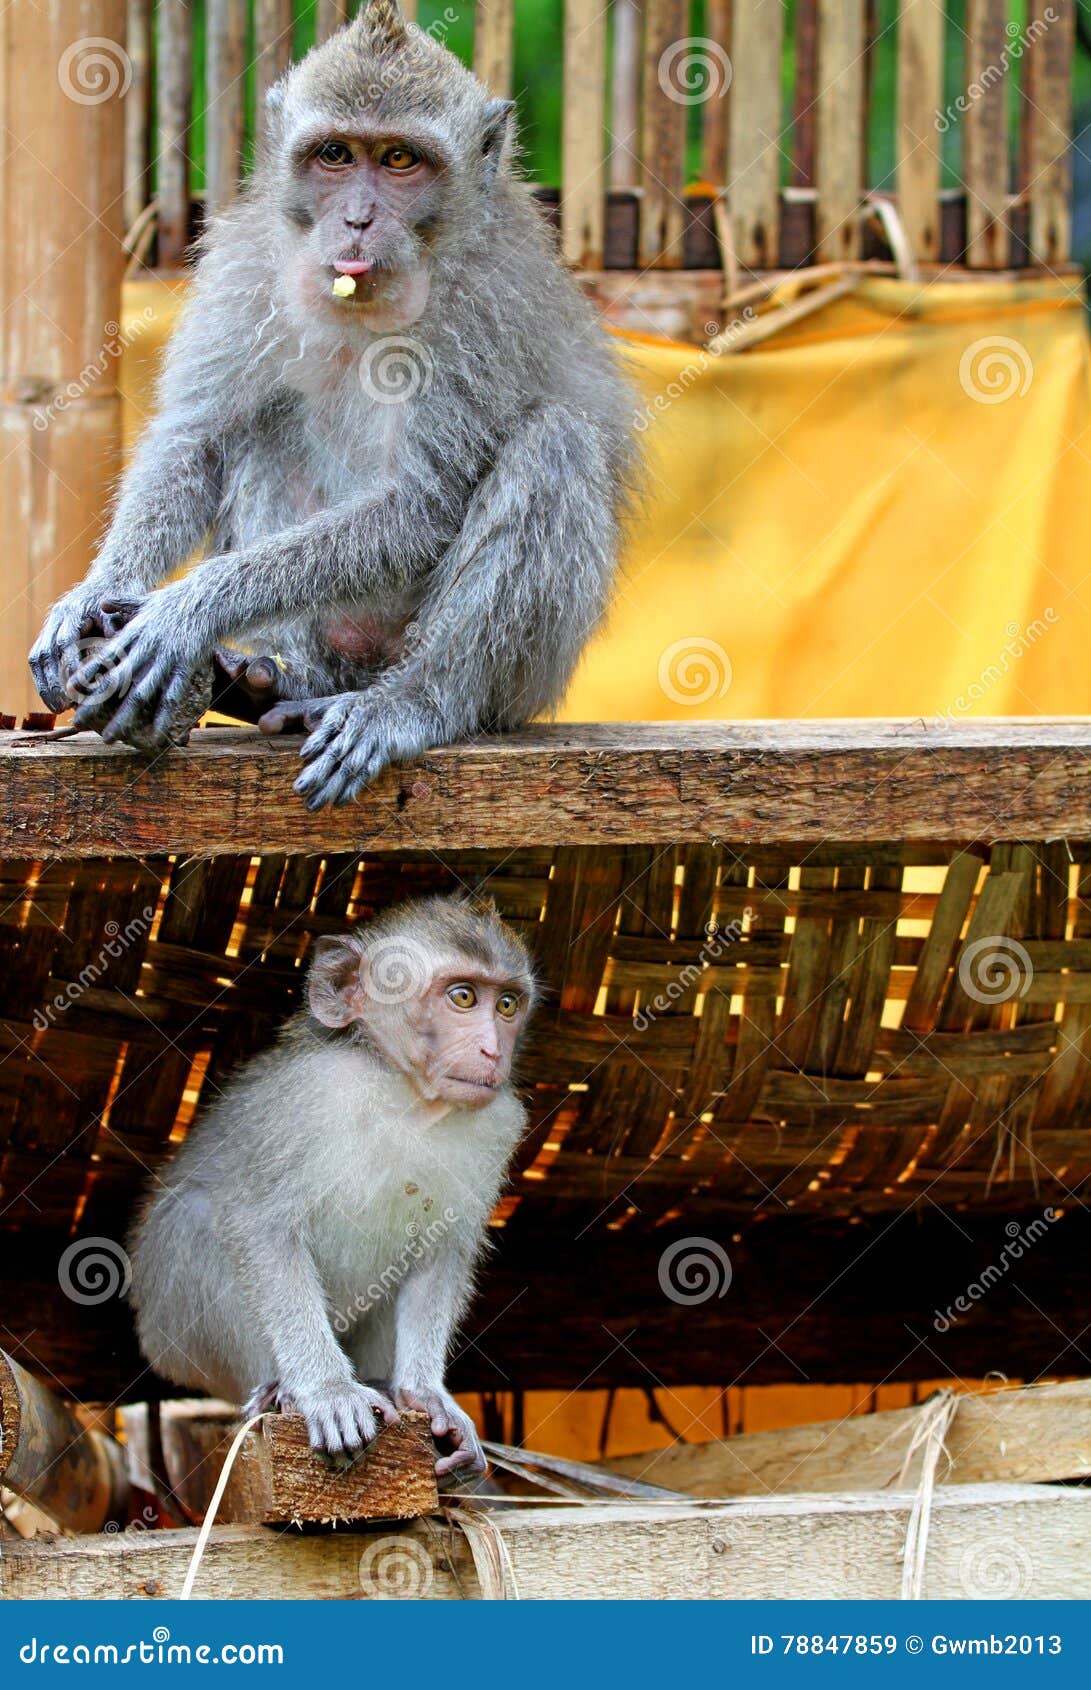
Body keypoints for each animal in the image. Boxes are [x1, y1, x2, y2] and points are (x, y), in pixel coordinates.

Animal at [29, 0, 636, 808]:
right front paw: (95, 593)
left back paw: (413, 701)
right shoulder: (249, 261)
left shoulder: (481, 311)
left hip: (523, 677)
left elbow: (419, 503)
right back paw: (276, 682)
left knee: (554, 444)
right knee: (263, 432)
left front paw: (191, 606)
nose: (356, 221)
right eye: (337, 156)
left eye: (401, 161)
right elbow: (198, 438)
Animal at [127, 895, 537, 1476]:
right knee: (197, 1219)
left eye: (506, 1005)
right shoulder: (309, 1093)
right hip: (170, 1337)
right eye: (462, 997)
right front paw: (327, 1390)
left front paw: (427, 1393)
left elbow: (442, 1250)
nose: (490, 1052)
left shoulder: (496, 1123)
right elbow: (261, 1227)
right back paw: (281, 1390)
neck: (404, 1092)